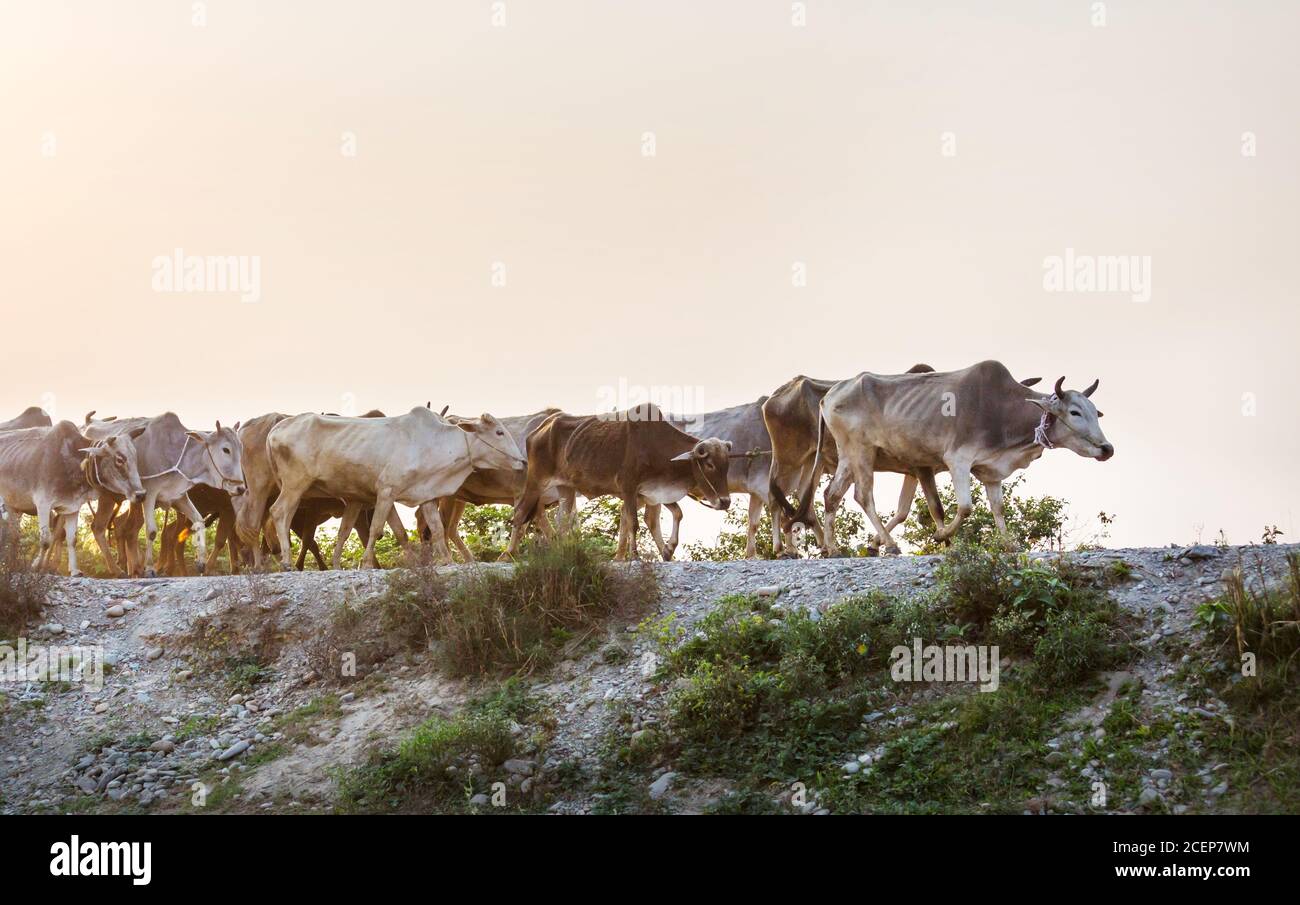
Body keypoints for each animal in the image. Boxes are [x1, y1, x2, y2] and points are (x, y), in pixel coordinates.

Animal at [0, 421, 147, 576]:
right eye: (119, 459)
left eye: (135, 457)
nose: (140, 494)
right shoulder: (43, 504)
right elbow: (45, 541)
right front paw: (36, 567)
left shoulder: (72, 508)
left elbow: (72, 539)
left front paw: (75, 570)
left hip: (12, 506)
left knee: (14, 536)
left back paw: (13, 565)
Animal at [83, 413, 246, 577]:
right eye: (225, 449)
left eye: (241, 448)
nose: (241, 488)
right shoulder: (149, 495)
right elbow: (151, 531)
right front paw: (150, 568)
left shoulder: (179, 497)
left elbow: (199, 522)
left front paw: (201, 562)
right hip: (108, 497)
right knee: (100, 528)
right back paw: (120, 569)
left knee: (126, 529)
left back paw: (133, 568)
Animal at [266, 407, 525, 568]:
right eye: (499, 432)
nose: (523, 461)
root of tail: (277, 428)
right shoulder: (386, 492)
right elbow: (376, 529)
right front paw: (366, 564)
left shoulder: (424, 496)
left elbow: (427, 531)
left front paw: (445, 562)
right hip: (295, 484)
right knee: (279, 512)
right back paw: (287, 562)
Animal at [509, 404, 734, 561]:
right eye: (709, 464)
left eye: (726, 465)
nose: (725, 502)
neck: (657, 447)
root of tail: (540, 429)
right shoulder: (629, 488)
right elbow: (633, 523)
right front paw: (634, 556)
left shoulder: (653, 492)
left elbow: (676, 513)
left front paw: (668, 549)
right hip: (536, 482)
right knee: (520, 514)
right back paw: (508, 555)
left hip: (566, 489)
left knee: (562, 522)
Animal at [793, 361, 1112, 552]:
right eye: (1074, 412)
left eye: (1094, 411)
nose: (1107, 448)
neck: (1000, 410)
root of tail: (830, 394)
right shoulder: (957, 460)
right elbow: (963, 508)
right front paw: (943, 537)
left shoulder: (991, 473)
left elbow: (997, 509)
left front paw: (1010, 545)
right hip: (862, 453)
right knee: (863, 495)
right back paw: (889, 544)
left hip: (849, 457)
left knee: (832, 495)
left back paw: (833, 549)